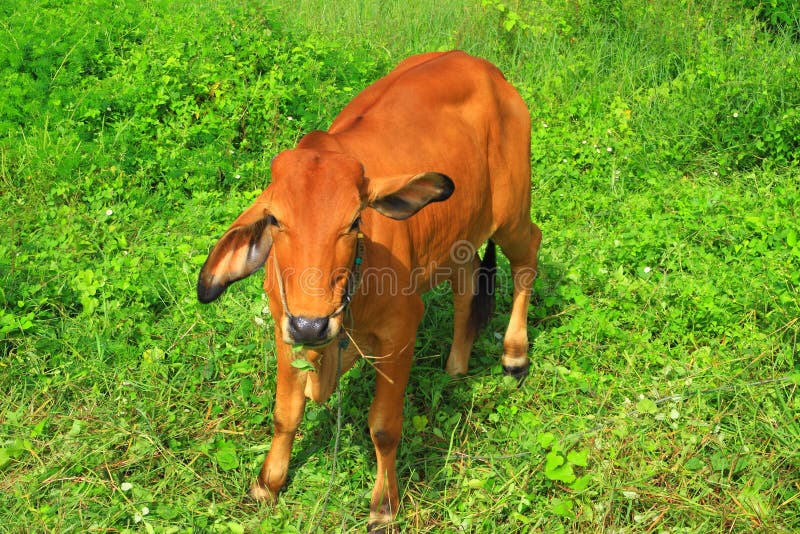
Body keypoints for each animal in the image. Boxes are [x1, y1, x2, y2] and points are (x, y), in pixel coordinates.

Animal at [197, 50, 542, 531]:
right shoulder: (284, 328)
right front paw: (268, 482)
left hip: (512, 213)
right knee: (467, 283)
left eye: (355, 221)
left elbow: (383, 425)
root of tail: (484, 68)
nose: (311, 324)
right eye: (275, 220)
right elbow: (286, 413)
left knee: (528, 255)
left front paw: (384, 503)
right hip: (456, 237)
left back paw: (514, 355)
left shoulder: (400, 331)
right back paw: (456, 365)